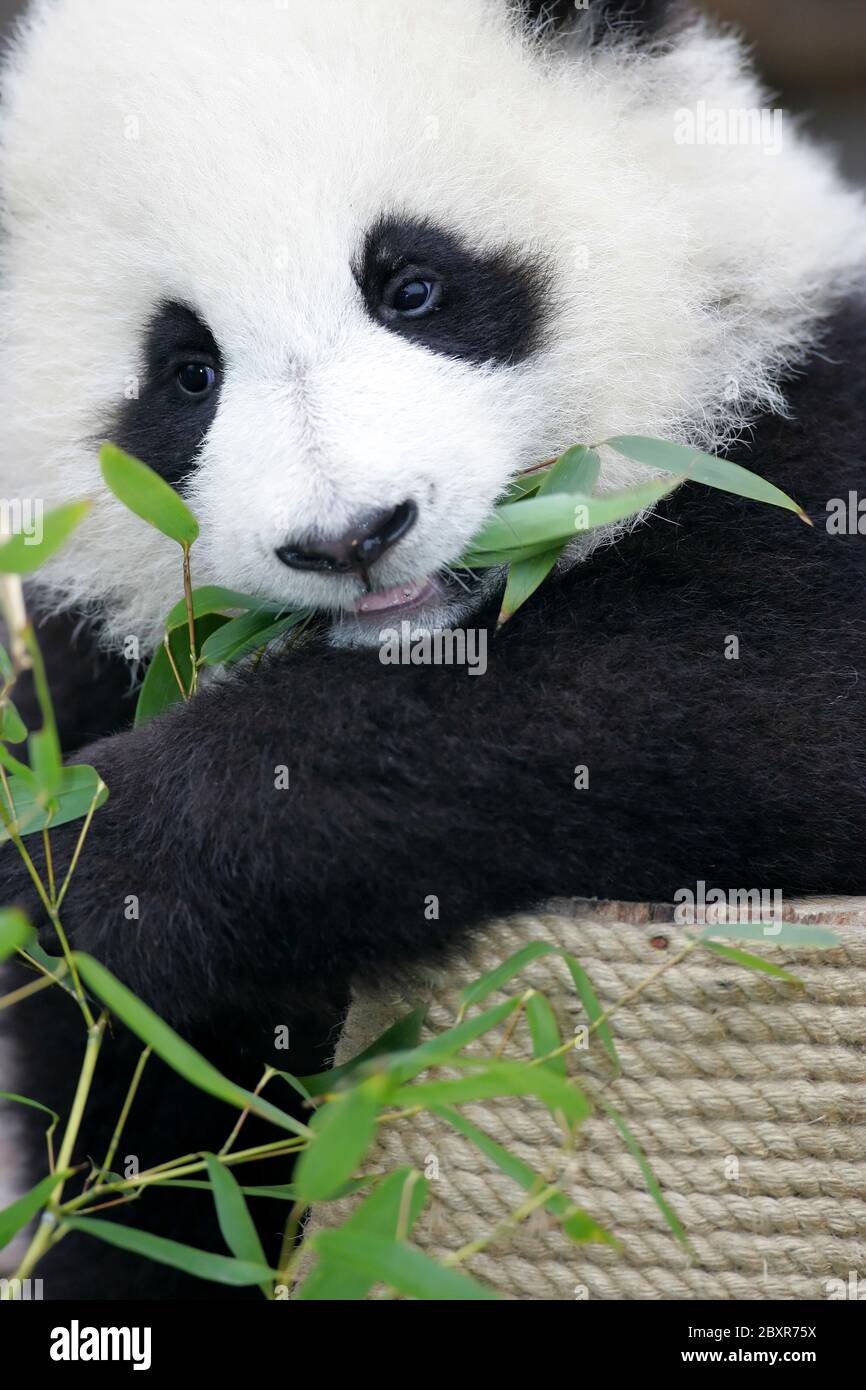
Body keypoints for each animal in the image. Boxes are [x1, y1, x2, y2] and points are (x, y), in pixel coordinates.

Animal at [0, 0, 865, 1300]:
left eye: (413, 285)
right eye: (187, 371)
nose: (350, 536)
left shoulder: (805, 434)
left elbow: (746, 701)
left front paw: (108, 863)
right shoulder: (87, 665)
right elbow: (132, 1114)